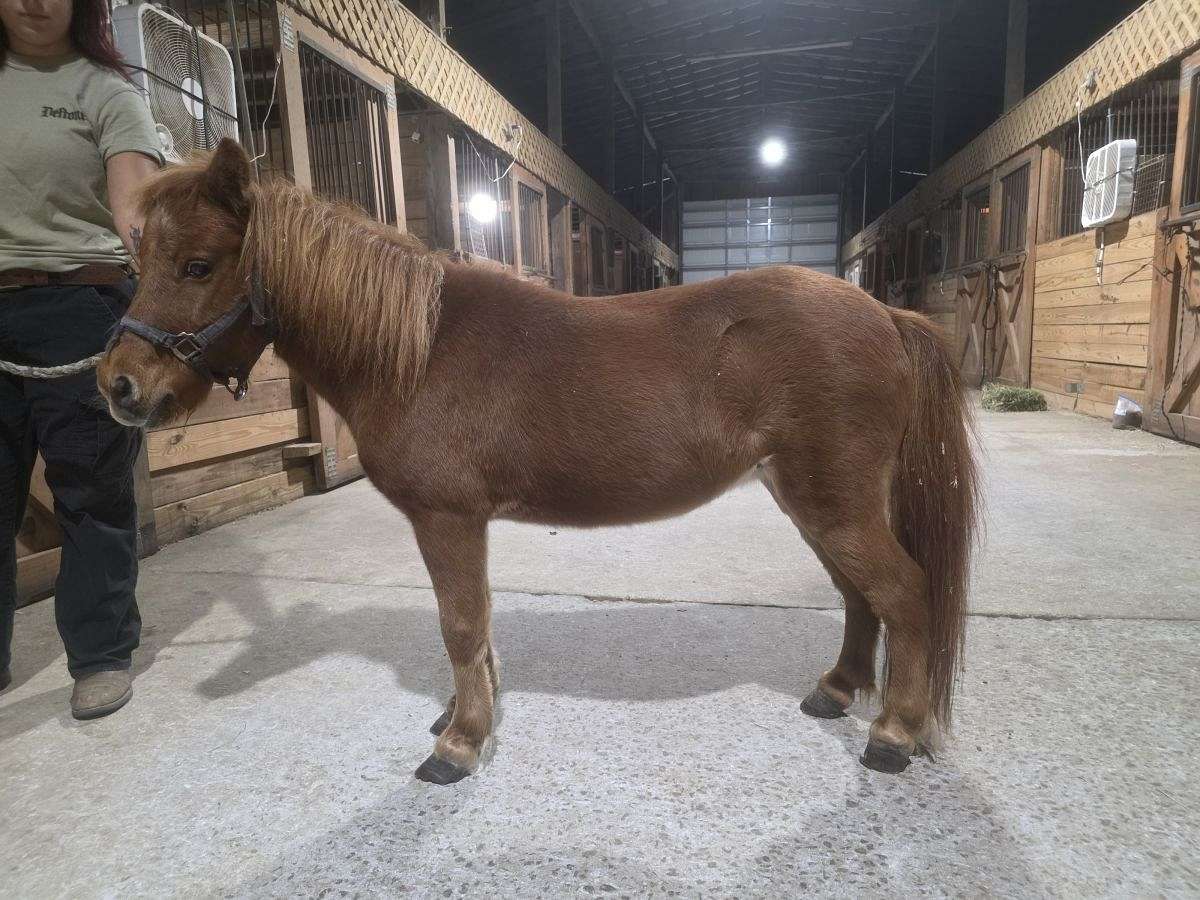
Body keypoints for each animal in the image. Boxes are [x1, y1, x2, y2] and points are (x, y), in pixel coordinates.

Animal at [98, 139, 979, 785]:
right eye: (137, 261)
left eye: (199, 264)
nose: (118, 386)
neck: (416, 349)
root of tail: (885, 313)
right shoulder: (464, 523)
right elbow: (478, 624)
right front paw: (467, 715)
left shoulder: (446, 517)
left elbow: (459, 624)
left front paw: (459, 745)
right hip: (815, 502)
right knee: (860, 595)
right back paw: (836, 691)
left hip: (835, 502)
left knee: (903, 592)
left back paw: (893, 735)